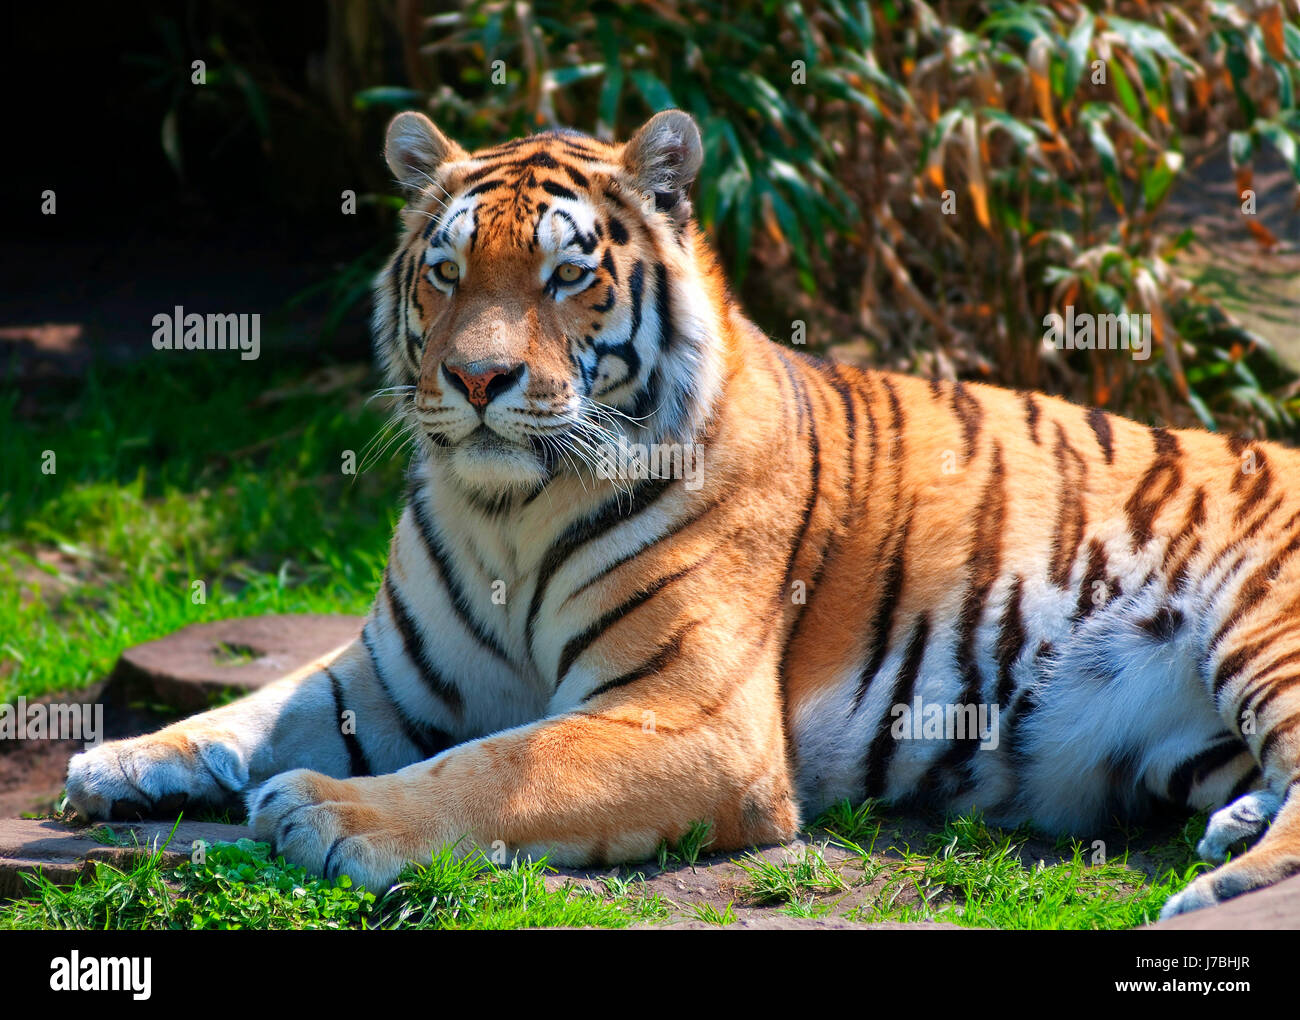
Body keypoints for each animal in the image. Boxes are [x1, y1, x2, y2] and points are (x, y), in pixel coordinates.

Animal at [65, 109, 1300, 920]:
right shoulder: (395, 675)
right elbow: (260, 706)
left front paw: (327, 815)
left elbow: (493, 770)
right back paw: (1231, 830)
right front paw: (120, 760)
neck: (503, 507)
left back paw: (1213, 886)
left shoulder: (690, 717)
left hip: (1261, 625)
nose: (477, 379)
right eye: (447, 272)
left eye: (566, 277)